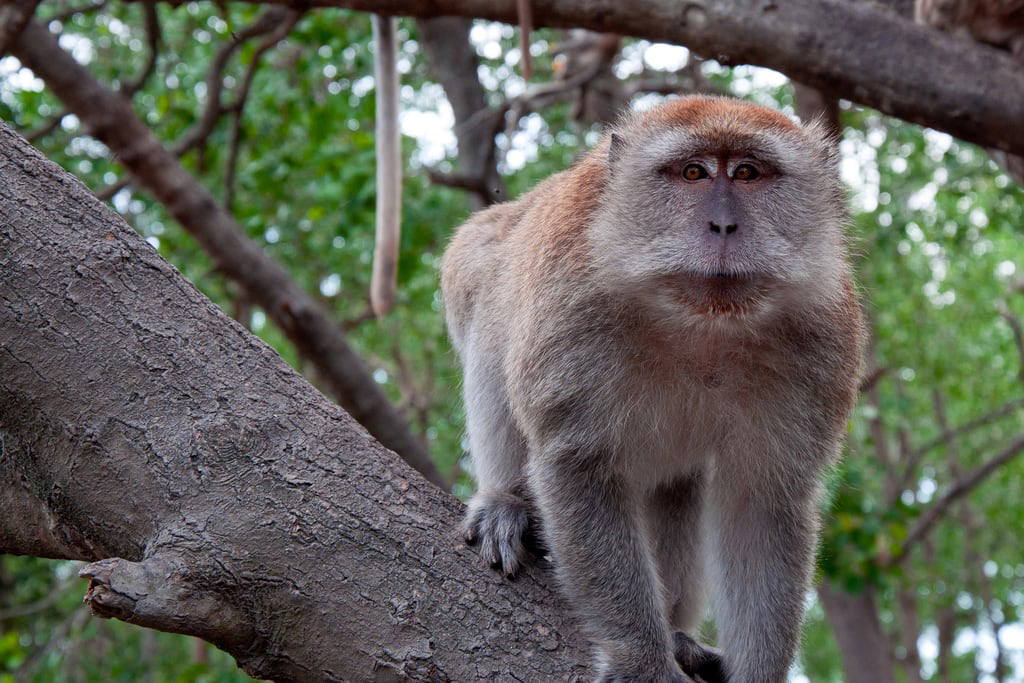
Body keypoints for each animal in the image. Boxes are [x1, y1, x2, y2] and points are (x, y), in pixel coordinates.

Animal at [441, 96, 865, 682]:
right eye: (693, 173)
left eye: (748, 173)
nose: (723, 224)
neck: (703, 323)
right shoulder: (574, 303)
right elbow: (580, 462)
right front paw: (642, 660)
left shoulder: (822, 341)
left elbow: (761, 503)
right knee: (492, 298)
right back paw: (504, 503)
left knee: (679, 486)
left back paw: (679, 633)